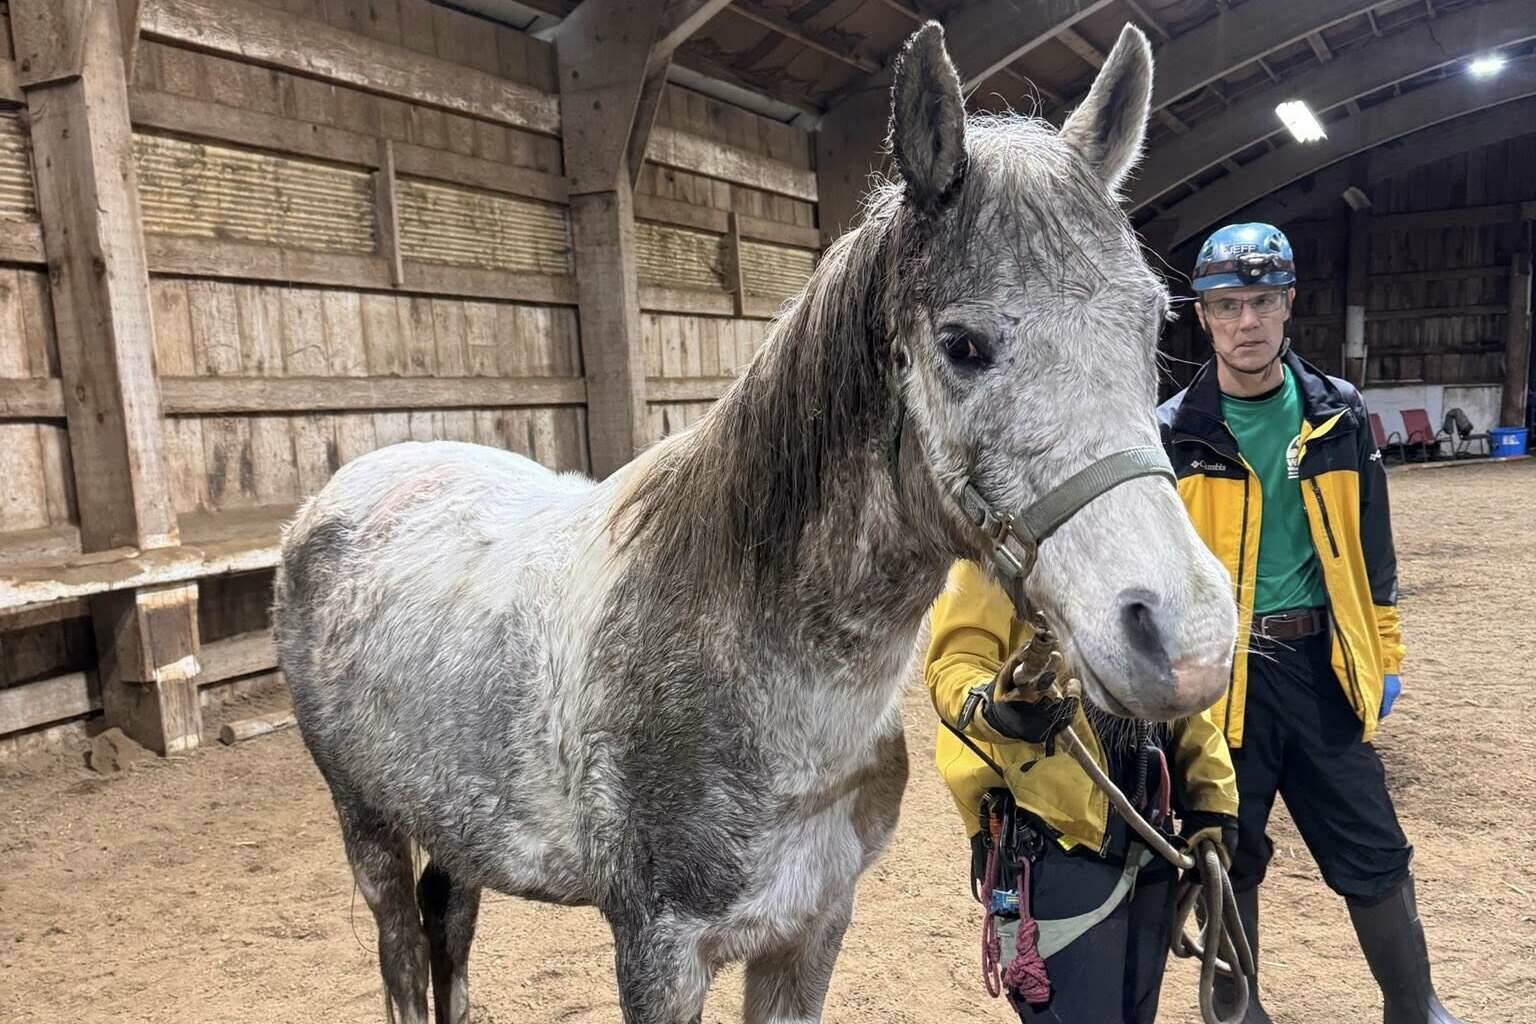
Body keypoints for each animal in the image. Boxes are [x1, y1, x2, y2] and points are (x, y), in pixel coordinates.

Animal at [272, 21, 1237, 1024]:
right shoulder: (659, 954)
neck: (749, 668)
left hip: (454, 827)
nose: (1188, 637)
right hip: (368, 828)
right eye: (963, 345)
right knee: (402, 954)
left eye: (1155, 320)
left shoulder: (811, 930)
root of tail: (332, 500)